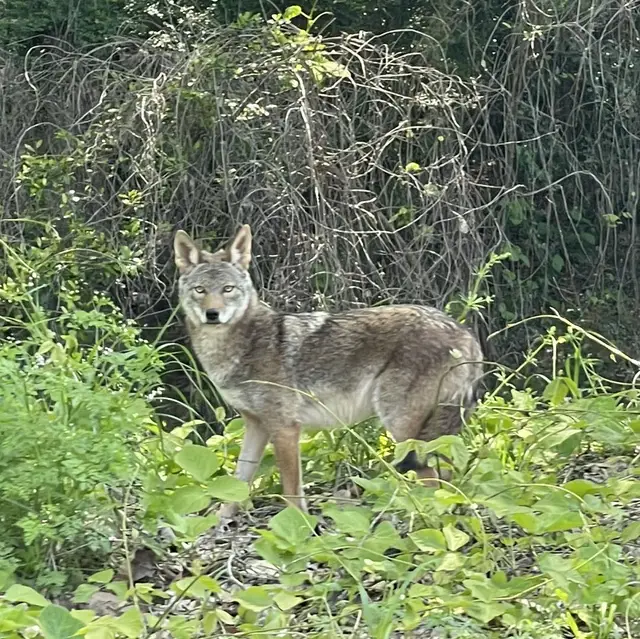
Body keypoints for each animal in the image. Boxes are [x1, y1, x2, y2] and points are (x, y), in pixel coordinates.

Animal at [173, 225, 483, 520]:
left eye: (228, 289)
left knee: (433, 478)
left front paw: (299, 524)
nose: (212, 315)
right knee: (449, 476)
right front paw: (219, 520)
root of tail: (467, 335)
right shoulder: (256, 424)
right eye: (200, 290)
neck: (242, 345)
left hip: (400, 426)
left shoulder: (285, 428)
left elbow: (291, 490)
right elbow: (239, 480)